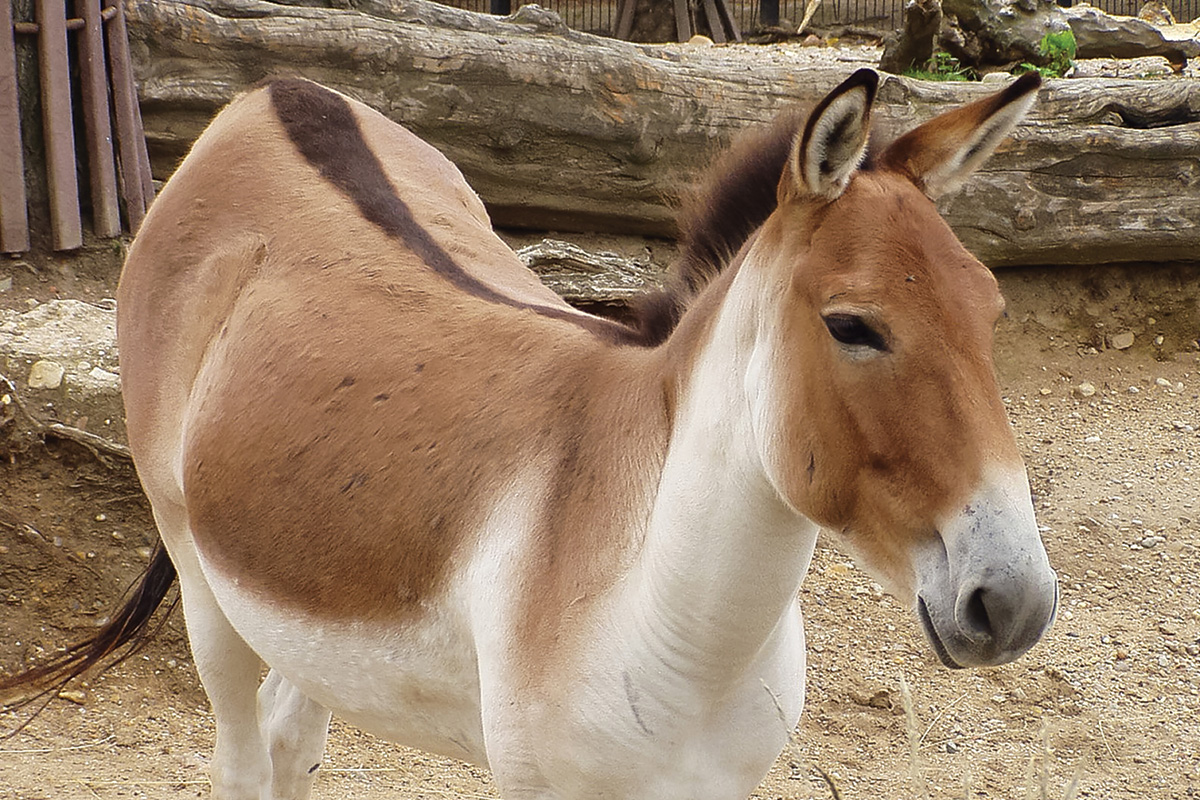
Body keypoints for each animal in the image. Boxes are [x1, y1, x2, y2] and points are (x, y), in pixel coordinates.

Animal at [2, 69, 1057, 799]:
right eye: (852, 327)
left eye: (993, 312)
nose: (1016, 603)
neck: (684, 634)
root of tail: (278, 92)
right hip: (203, 579)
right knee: (240, 755)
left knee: (292, 737)